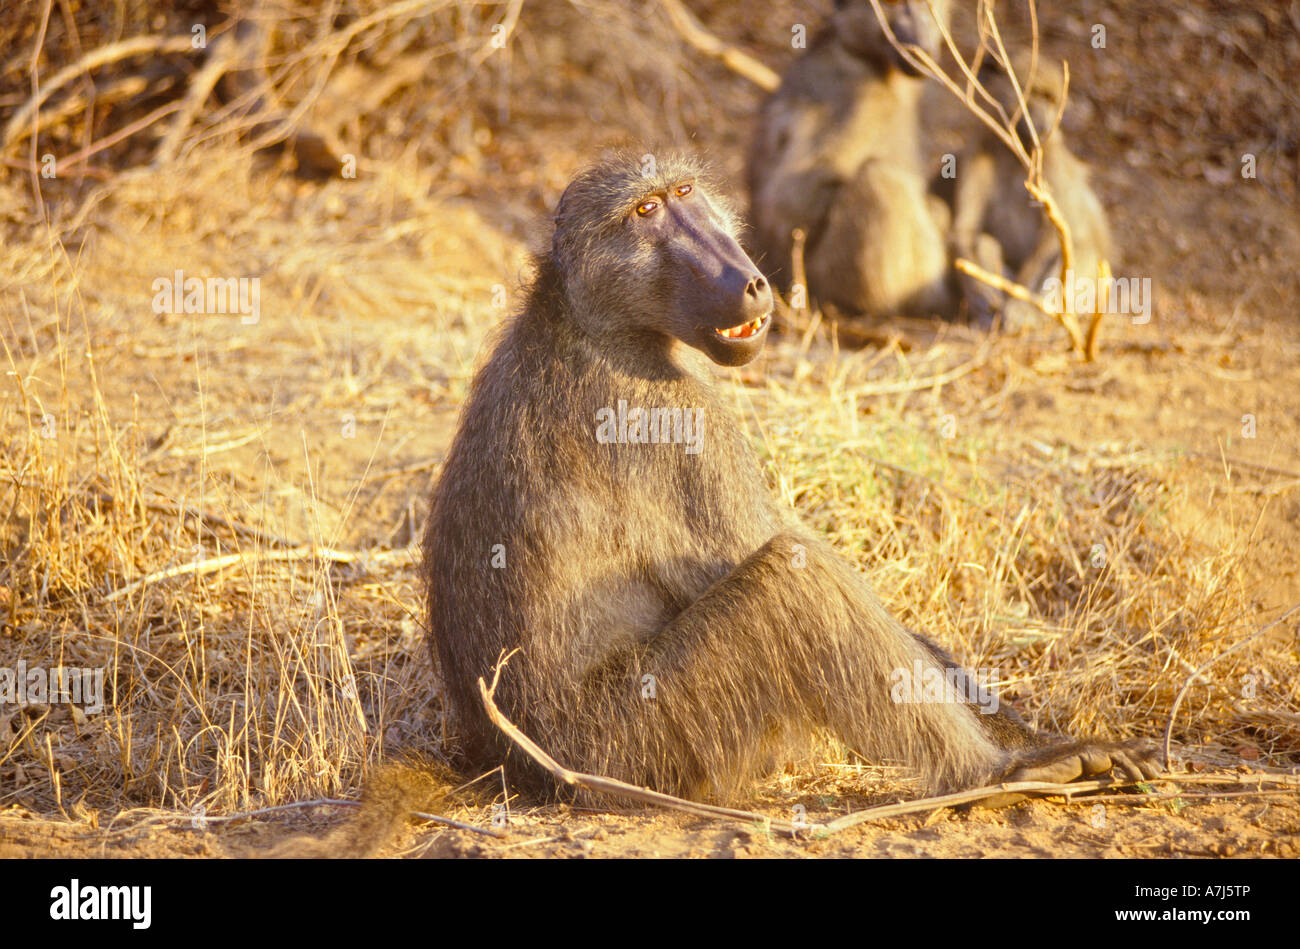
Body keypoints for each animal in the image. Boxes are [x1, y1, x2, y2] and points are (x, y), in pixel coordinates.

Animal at [422, 150, 1160, 806]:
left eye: (684, 192)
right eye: (645, 212)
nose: (747, 280)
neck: (585, 319)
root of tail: (520, 768)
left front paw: (1044, 733)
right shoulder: (676, 418)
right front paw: (1025, 753)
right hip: (638, 747)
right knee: (794, 579)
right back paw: (993, 777)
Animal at [747, 0, 955, 319]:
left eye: (928, 6)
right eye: (891, 6)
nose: (921, 48)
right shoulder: (854, 100)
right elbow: (789, 203)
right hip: (828, 276)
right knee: (878, 177)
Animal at [950, 59, 1115, 330]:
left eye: (1052, 100)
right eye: (1035, 94)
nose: (1046, 124)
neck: (1018, 148)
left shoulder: (1051, 160)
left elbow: (1052, 235)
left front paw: (1017, 306)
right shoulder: (979, 151)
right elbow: (965, 229)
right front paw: (980, 294)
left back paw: (1032, 312)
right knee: (984, 241)